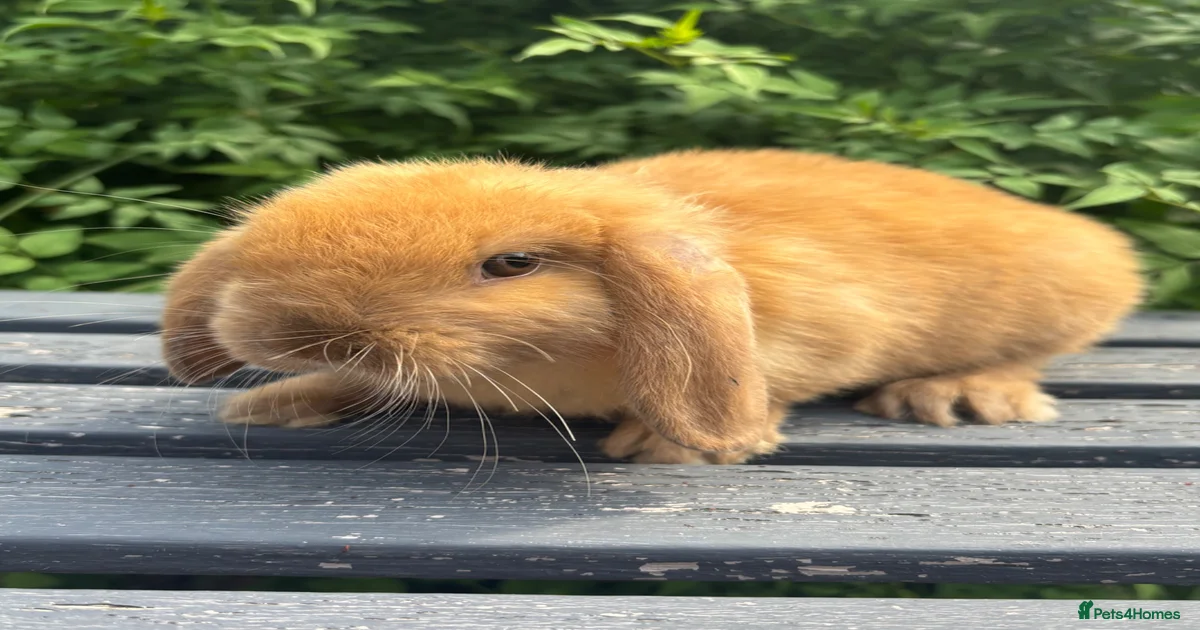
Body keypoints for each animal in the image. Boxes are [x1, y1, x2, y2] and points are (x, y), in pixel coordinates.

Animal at [161, 148, 1144, 464]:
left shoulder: (819, 330)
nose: (307, 333)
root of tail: (1106, 245)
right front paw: (277, 402)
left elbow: (777, 385)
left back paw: (960, 394)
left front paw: (672, 446)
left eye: (512, 263)